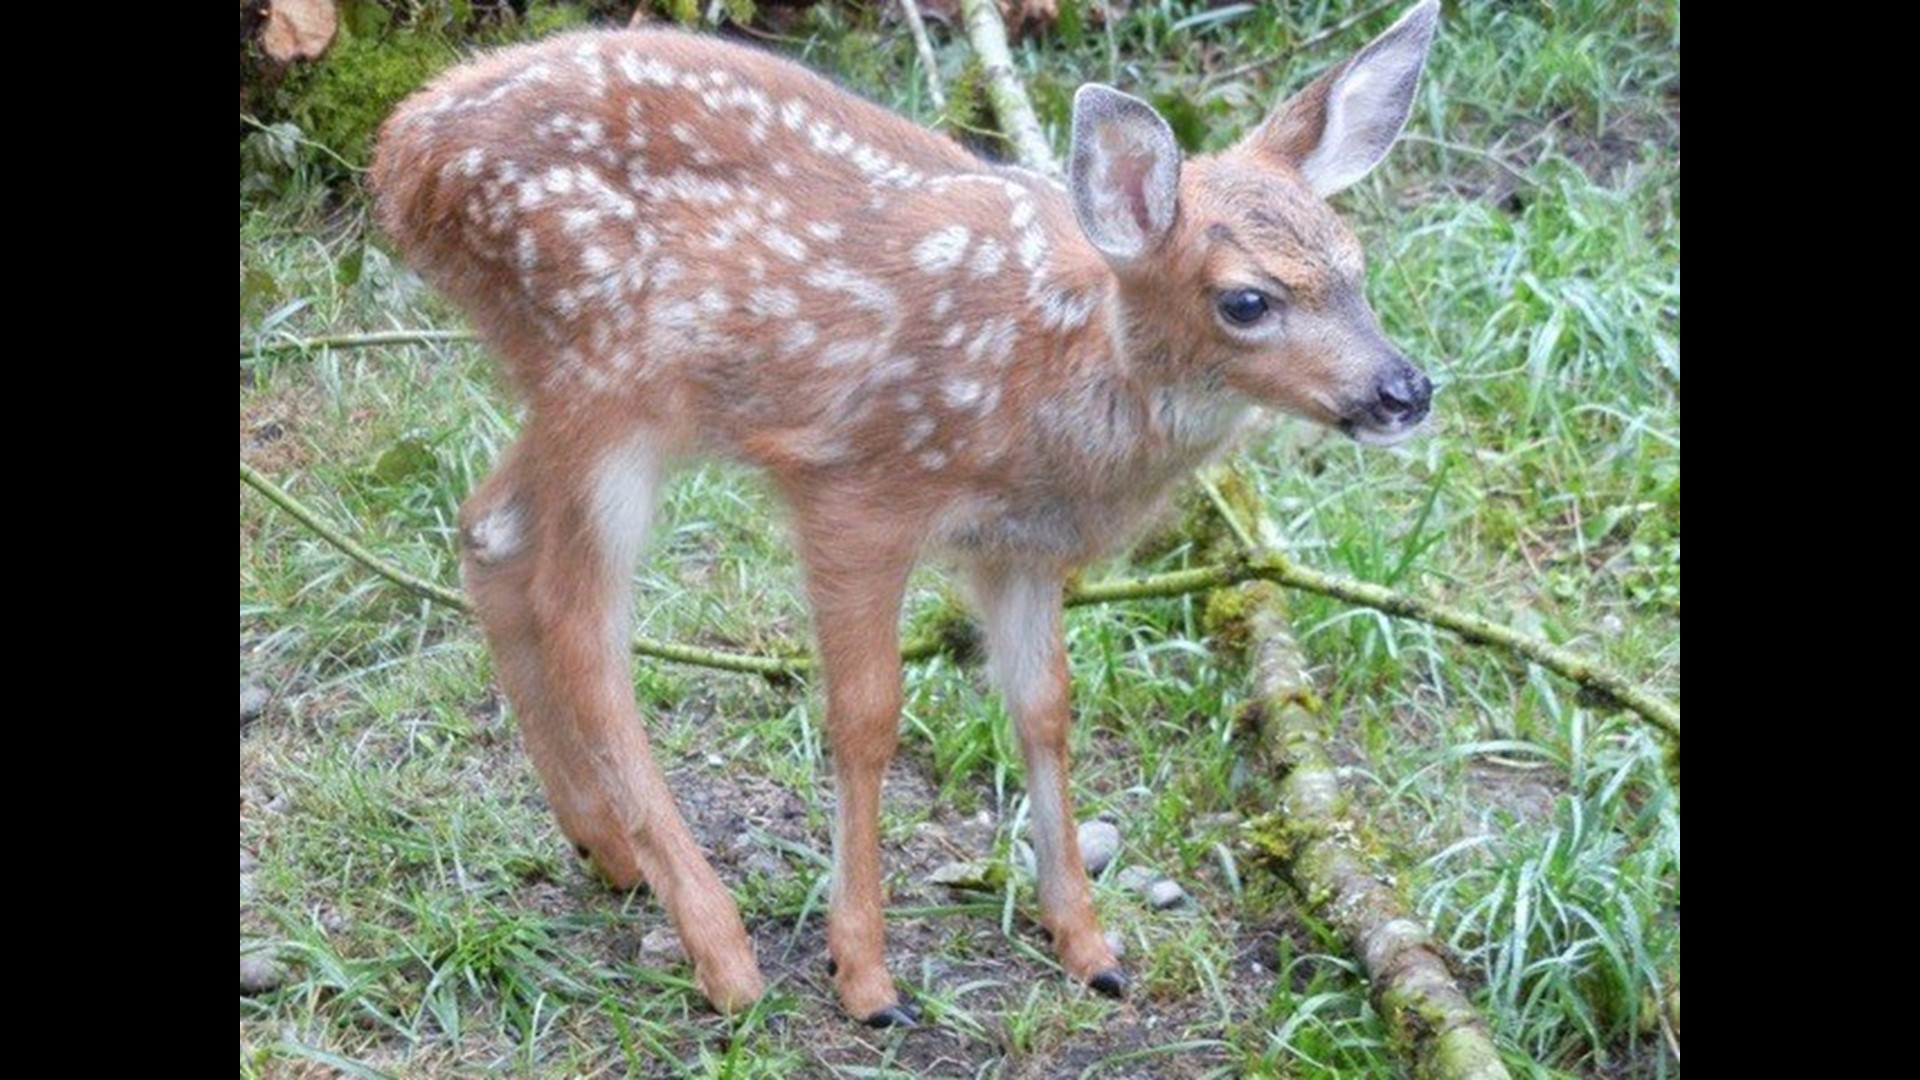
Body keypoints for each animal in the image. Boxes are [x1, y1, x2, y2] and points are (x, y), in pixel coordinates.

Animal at [370, 0, 1439, 1027]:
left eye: (1356, 264)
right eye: (1247, 301)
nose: (1406, 390)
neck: (1049, 376)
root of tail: (401, 149)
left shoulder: (1021, 550)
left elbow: (1045, 709)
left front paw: (1088, 948)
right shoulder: (858, 491)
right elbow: (866, 715)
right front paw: (865, 976)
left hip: (561, 387)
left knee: (489, 531)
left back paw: (608, 849)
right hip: (604, 377)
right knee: (579, 618)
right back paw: (722, 952)